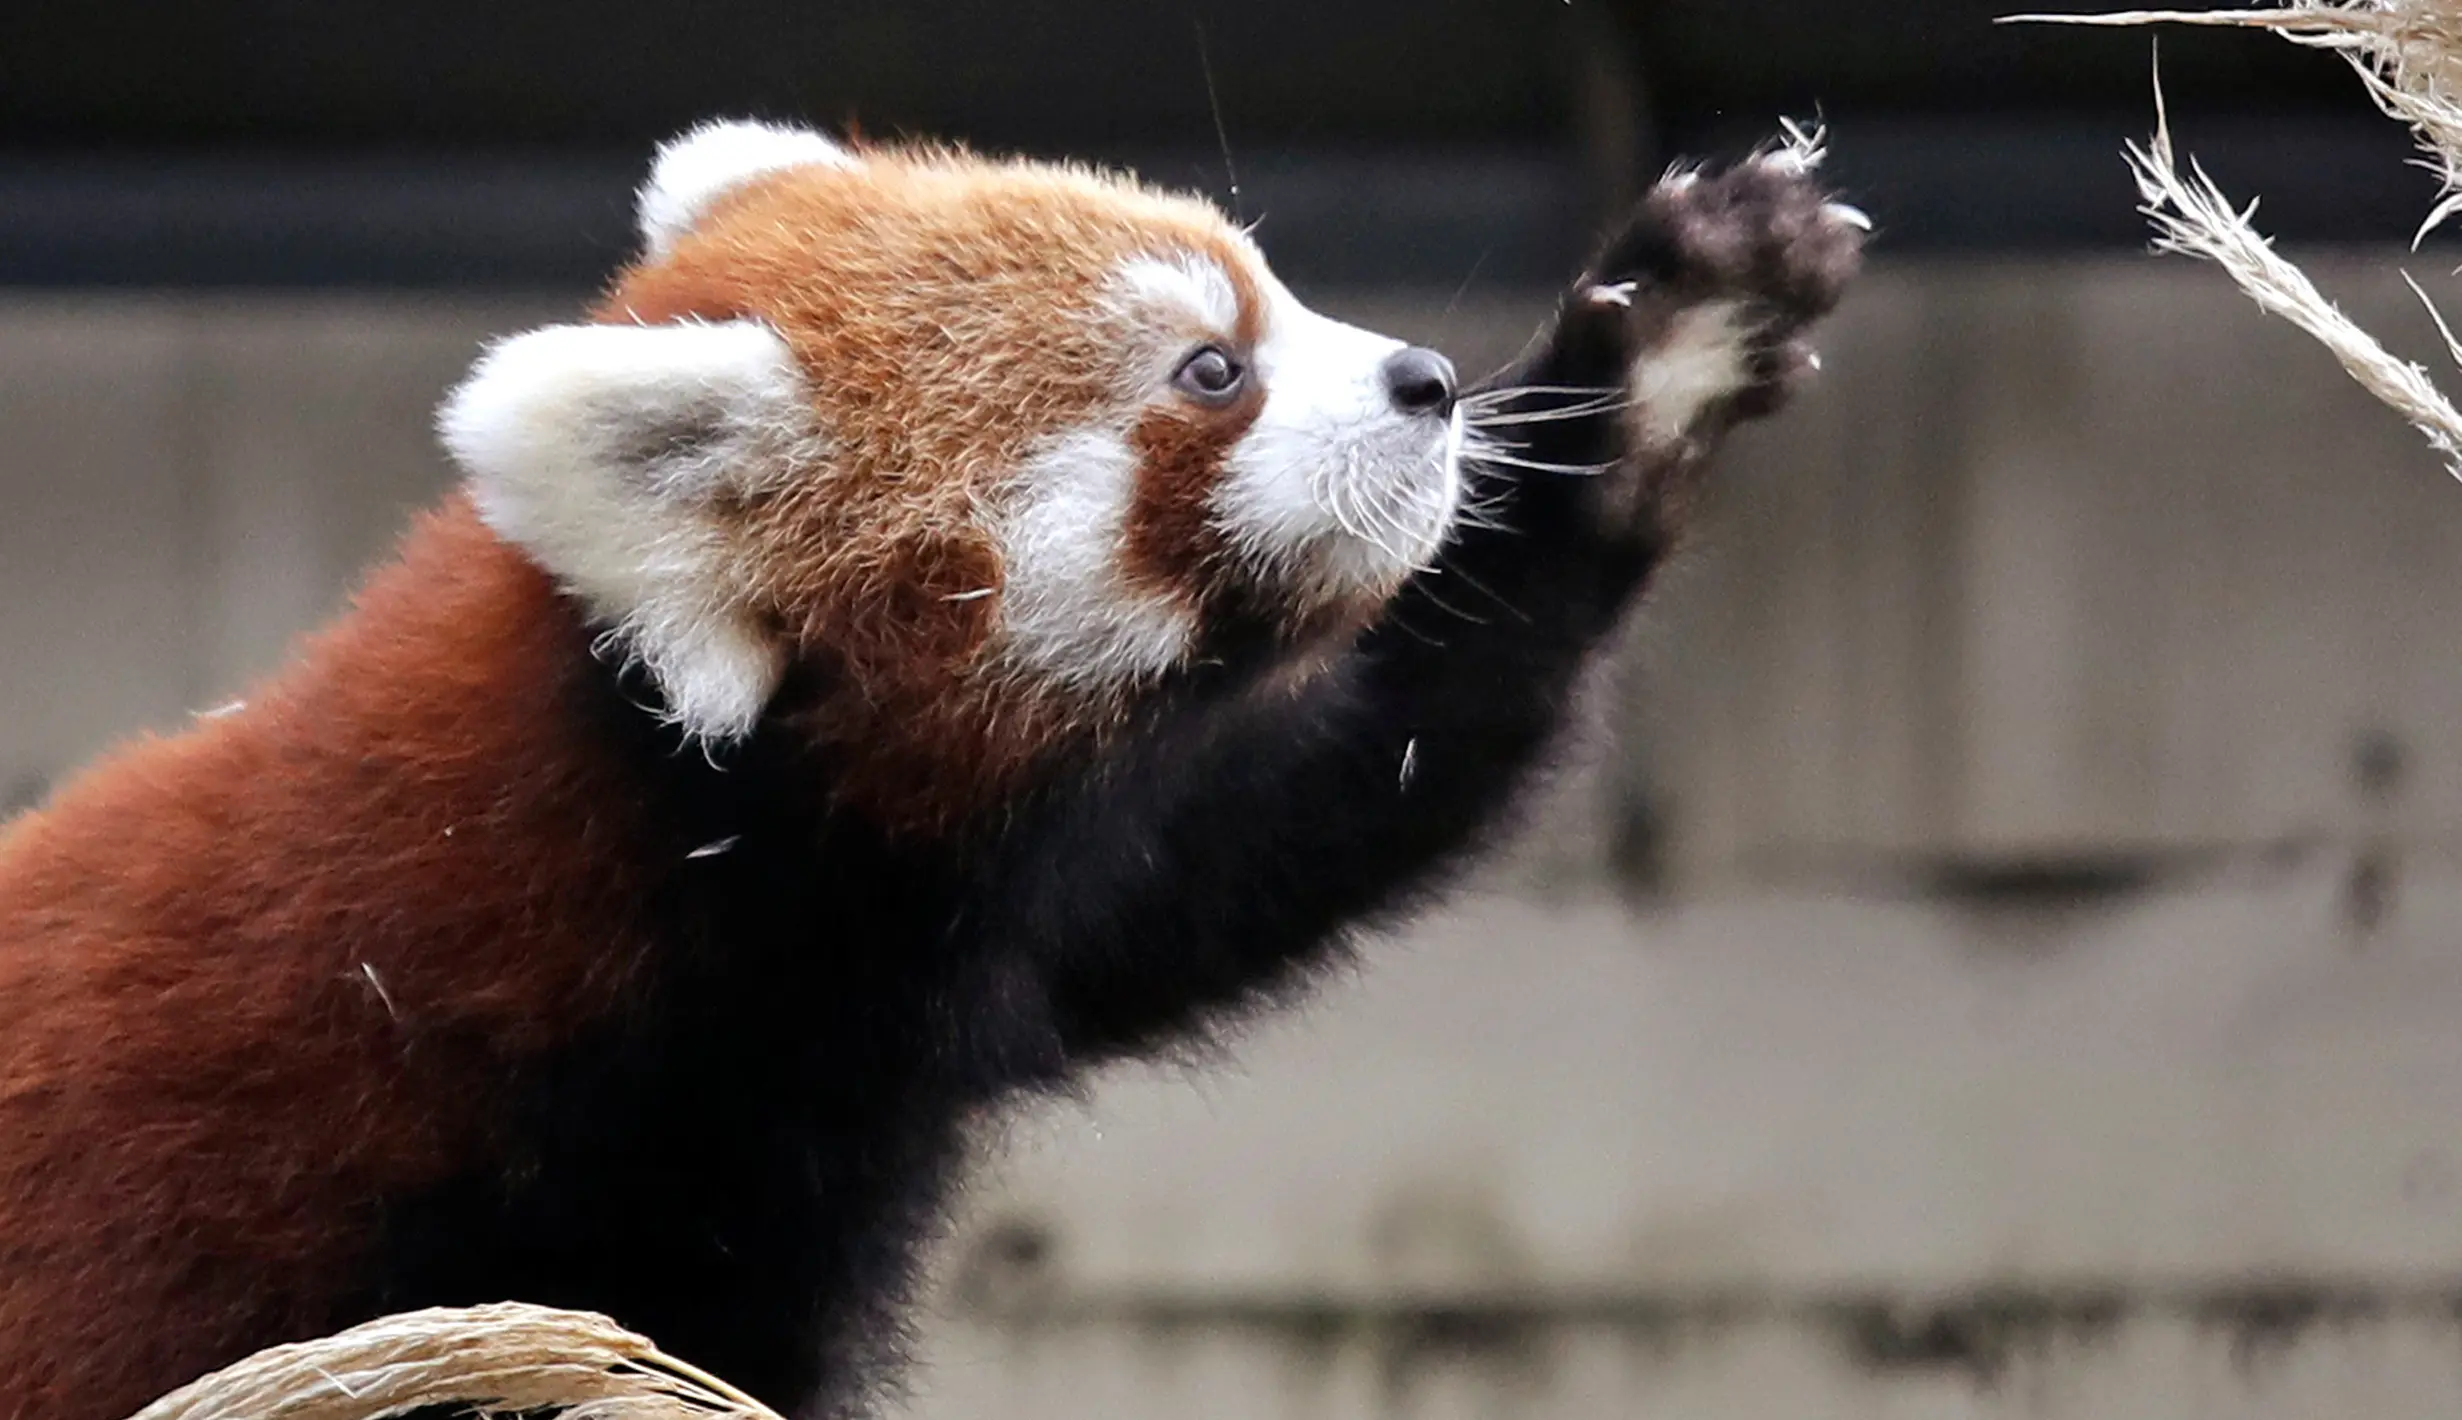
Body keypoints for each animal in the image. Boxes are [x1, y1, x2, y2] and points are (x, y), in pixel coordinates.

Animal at [0, 120, 1861, 1419]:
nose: (1431, 383)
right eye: (1210, 369)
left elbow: (1284, 825)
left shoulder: (1018, 922)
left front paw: (1660, 352)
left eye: (1266, 291)